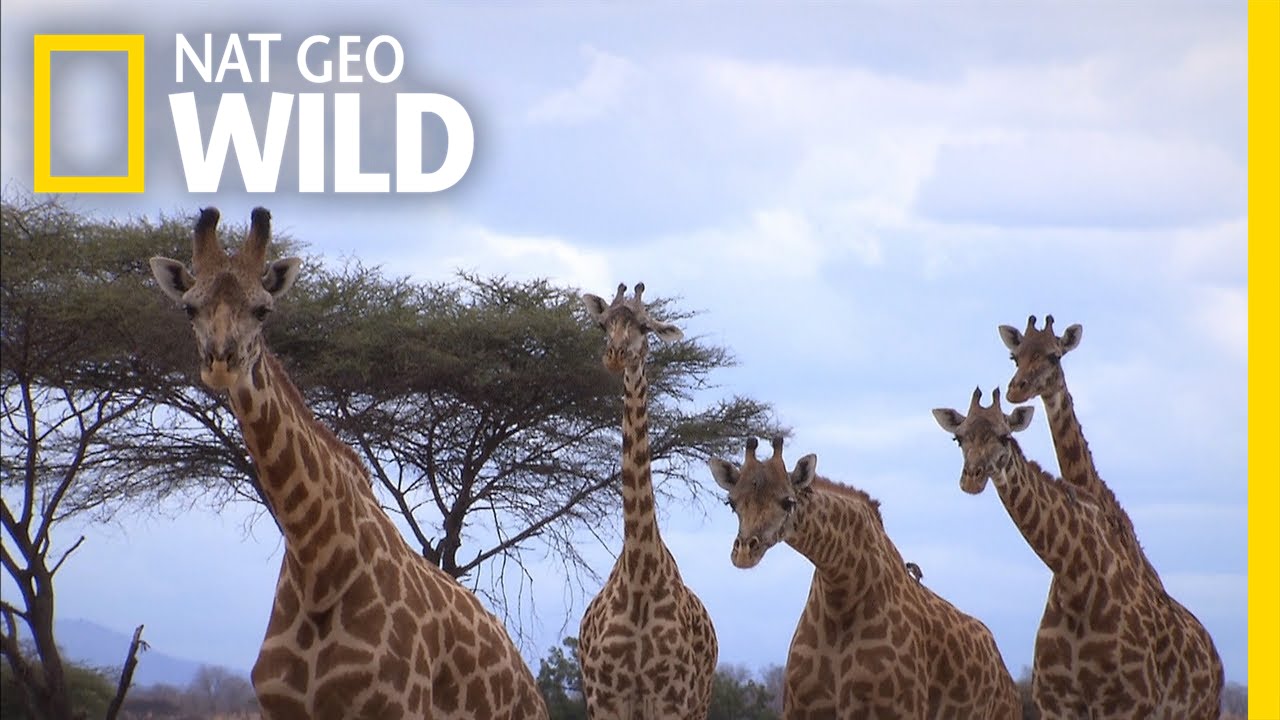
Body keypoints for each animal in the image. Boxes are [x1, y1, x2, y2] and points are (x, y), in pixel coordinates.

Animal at [150, 208, 548, 720]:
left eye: (263, 309)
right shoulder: (282, 709)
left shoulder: (399, 708)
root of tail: (527, 680)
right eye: (190, 308)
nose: (221, 361)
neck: (318, 561)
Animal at [577, 283, 717, 720]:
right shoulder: (605, 699)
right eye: (603, 325)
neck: (640, 575)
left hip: (698, 703)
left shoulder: (671, 698)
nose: (614, 355)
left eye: (644, 326)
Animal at [708, 437, 1019, 719]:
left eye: (788, 502)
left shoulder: (896, 712)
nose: (744, 552)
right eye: (732, 503)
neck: (841, 593)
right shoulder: (801, 710)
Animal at [932, 387, 1223, 719]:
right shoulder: (1056, 704)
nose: (972, 478)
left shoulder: (1128, 705)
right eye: (959, 438)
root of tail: (1215, 658)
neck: (1075, 575)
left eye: (1005, 436)